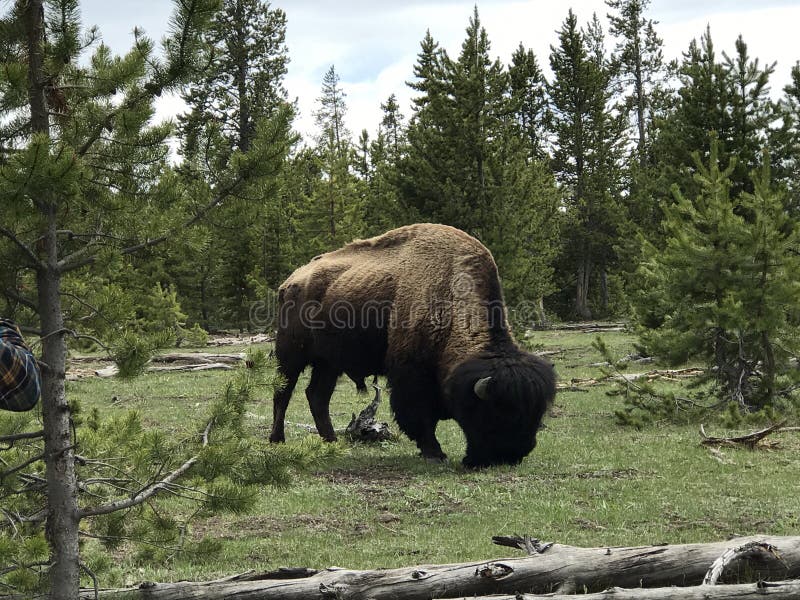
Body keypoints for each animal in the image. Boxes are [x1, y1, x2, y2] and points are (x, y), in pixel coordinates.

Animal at [269, 223, 556, 467]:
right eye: (495, 413)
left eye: (536, 415)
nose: (511, 455)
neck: (449, 290)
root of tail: (290, 281)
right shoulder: (411, 375)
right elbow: (418, 416)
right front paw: (434, 452)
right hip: (290, 353)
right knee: (283, 393)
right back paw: (277, 440)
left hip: (328, 362)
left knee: (317, 396)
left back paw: (331, 441)